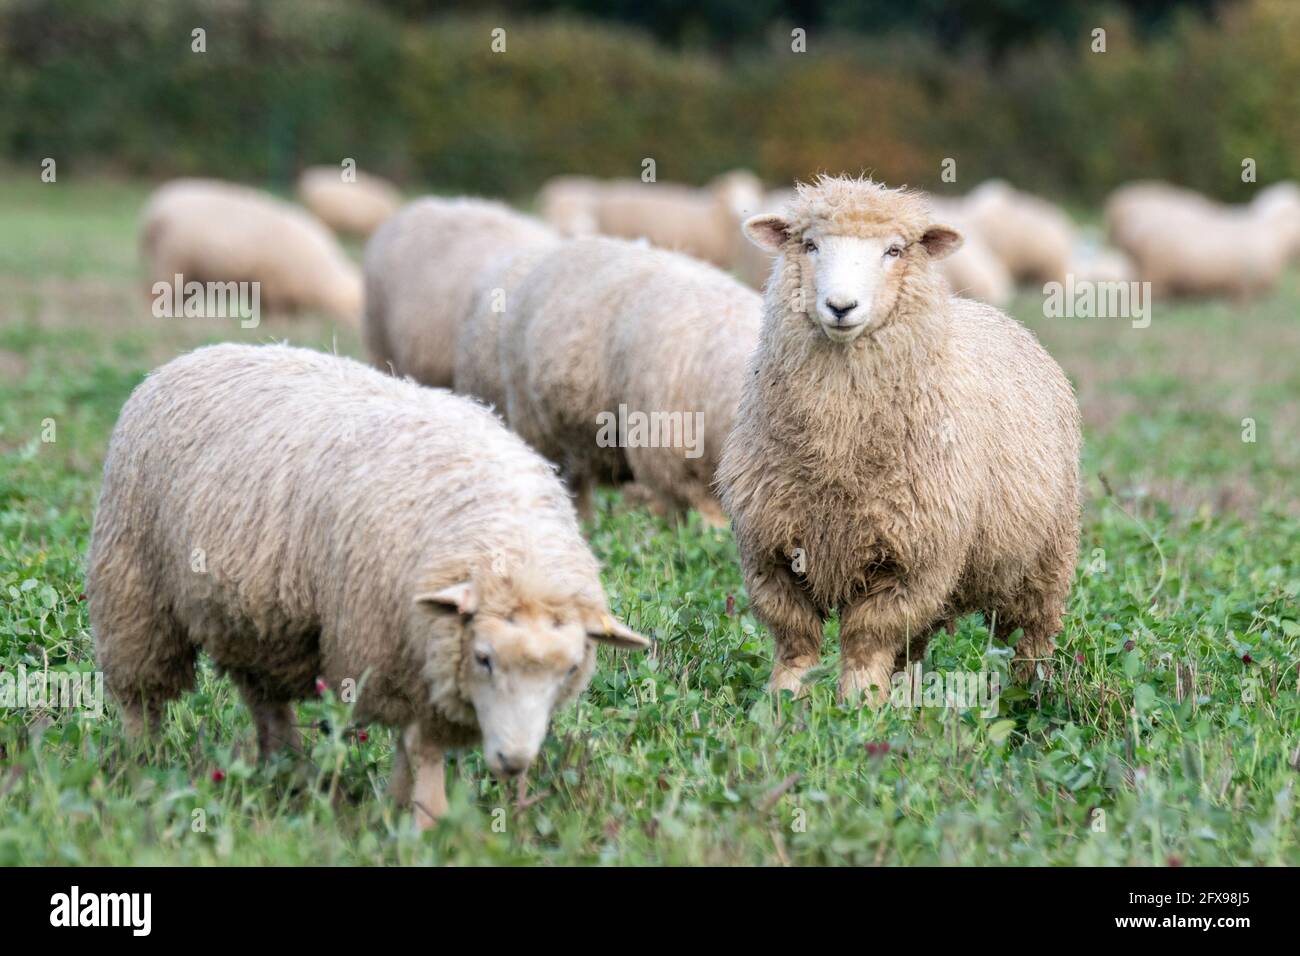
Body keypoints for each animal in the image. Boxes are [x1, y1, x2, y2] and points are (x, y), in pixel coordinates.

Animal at [88, 343, 649, 828]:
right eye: (484, 659)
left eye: (570, 669)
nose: (513, 762)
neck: (513, 545)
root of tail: (197, 353)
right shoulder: (390, 649)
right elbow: (422, 748)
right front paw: (427, 820)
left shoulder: (415, 649)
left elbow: (411, 747)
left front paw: (398, 807)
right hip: (133, 586)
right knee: (140, 694)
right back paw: (144, 763)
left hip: (254, 618)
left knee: (264, 697)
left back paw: (287, 769)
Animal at [140, 178, 363, 325]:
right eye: (358, 307)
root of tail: (154, 211)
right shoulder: (275, 283)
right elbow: (276, 308)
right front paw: (278, 322)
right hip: (170, 260)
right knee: (158, 291)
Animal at [716, 176, 1081, 703]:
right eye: (810, 245)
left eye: (893, 250)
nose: (841, 306)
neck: (837, 443)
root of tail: (988, 310)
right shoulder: (770, 549)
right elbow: (795, 640)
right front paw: (784, 703)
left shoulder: (911, 561)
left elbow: (867, 640)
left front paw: (856, 707)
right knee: (915, 646)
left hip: (1044, 559)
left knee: (1031, 636)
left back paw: (1032, 697)